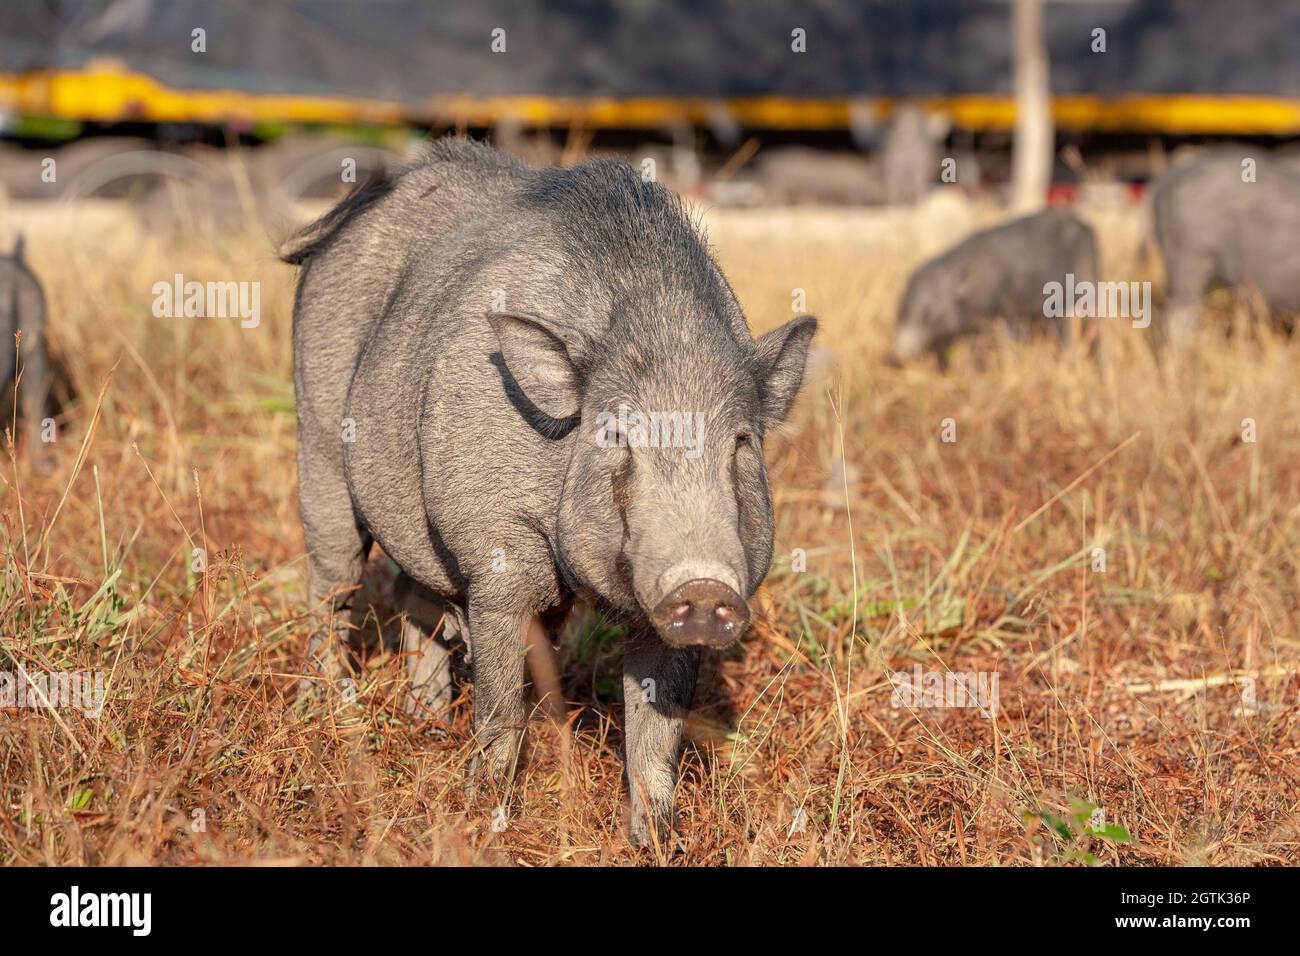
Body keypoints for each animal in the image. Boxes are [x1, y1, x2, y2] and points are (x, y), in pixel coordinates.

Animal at [280, 138, 816, 846]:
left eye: (742, 443)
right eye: (615, 434)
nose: (703, 586)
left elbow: (655, 735)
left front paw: (655, 841)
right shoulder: (495, 554)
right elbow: (501, 705)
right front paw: (485, 817)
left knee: (413, 598)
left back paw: (425, 722)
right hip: (315, 437)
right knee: (332, 582)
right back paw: (325, 705)